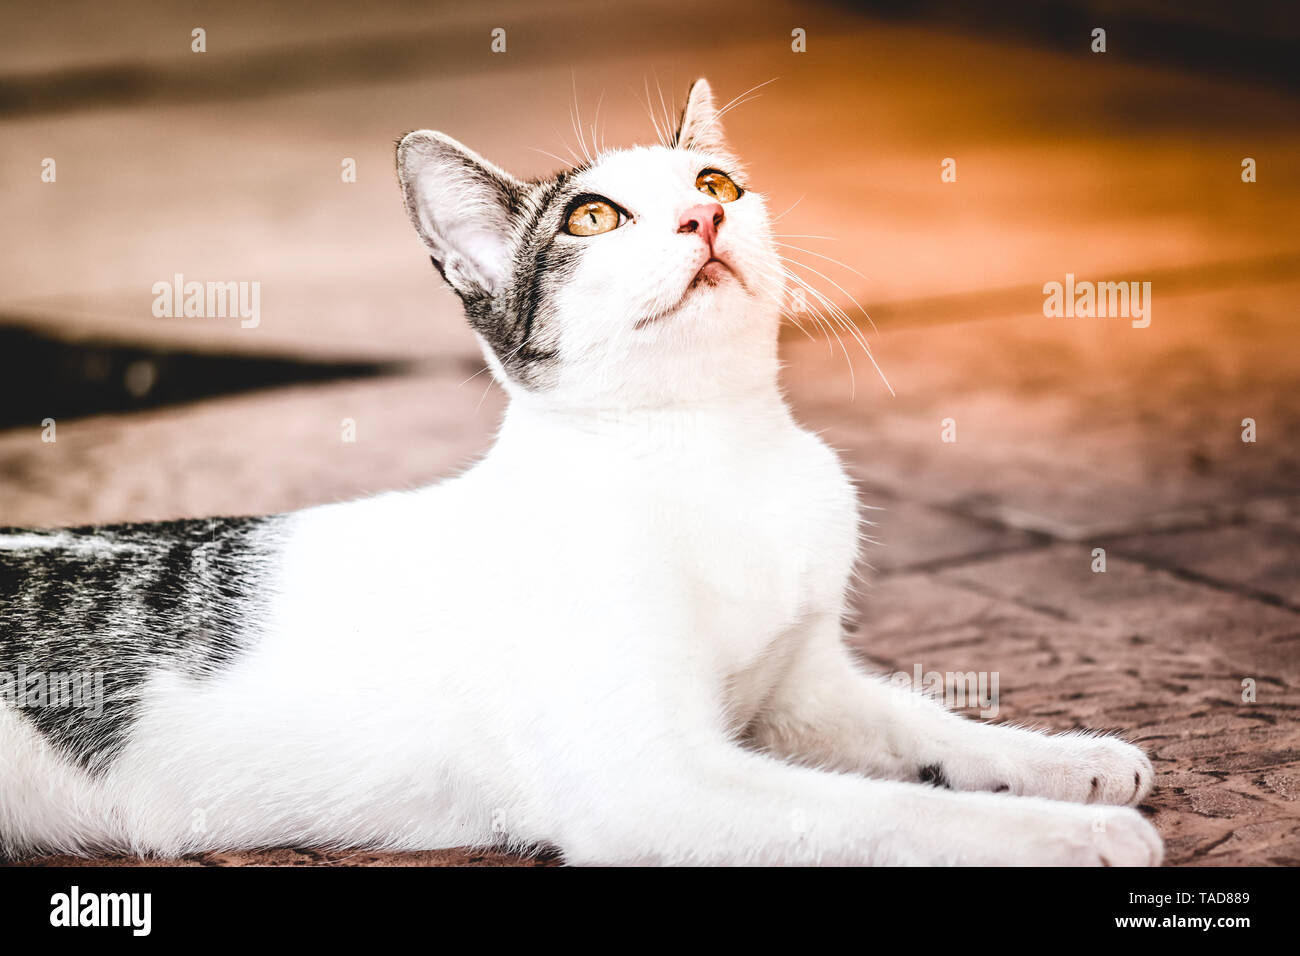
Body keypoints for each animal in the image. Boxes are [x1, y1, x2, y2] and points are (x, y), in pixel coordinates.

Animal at [0, 82, 1159, 868]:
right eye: (592, 217)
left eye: (715, 182)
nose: (706, 216)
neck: (712, 452)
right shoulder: (653, 785)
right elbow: (892, 813)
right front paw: (1075, 833)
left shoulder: (801, 691)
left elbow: (923, 726)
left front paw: (1069, 760)